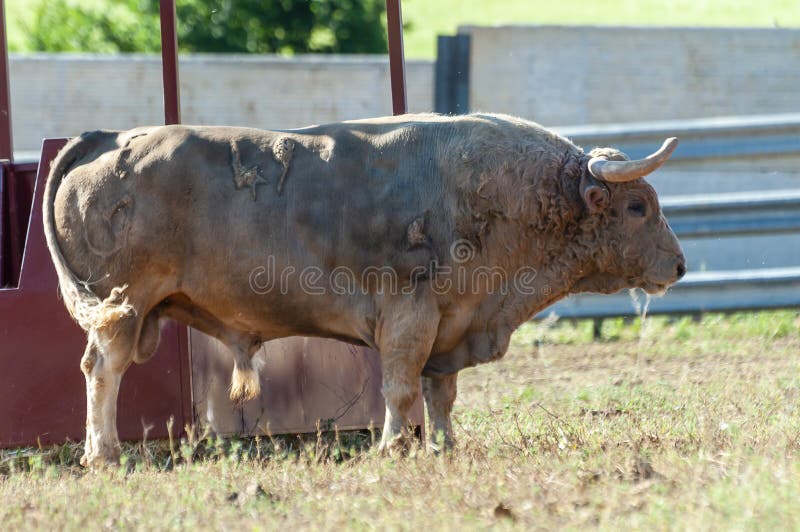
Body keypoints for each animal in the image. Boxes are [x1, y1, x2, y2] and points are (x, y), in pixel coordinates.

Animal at [43, 113, 685, 467]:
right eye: (637, 205)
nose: (679, 266)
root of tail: (108, 138)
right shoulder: (410, 315)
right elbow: (400, 388)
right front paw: (394, 446)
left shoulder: (450, 323)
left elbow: (440, 394)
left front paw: (444, 447)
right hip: (122, 308)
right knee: (103, 370)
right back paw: (104, 453)